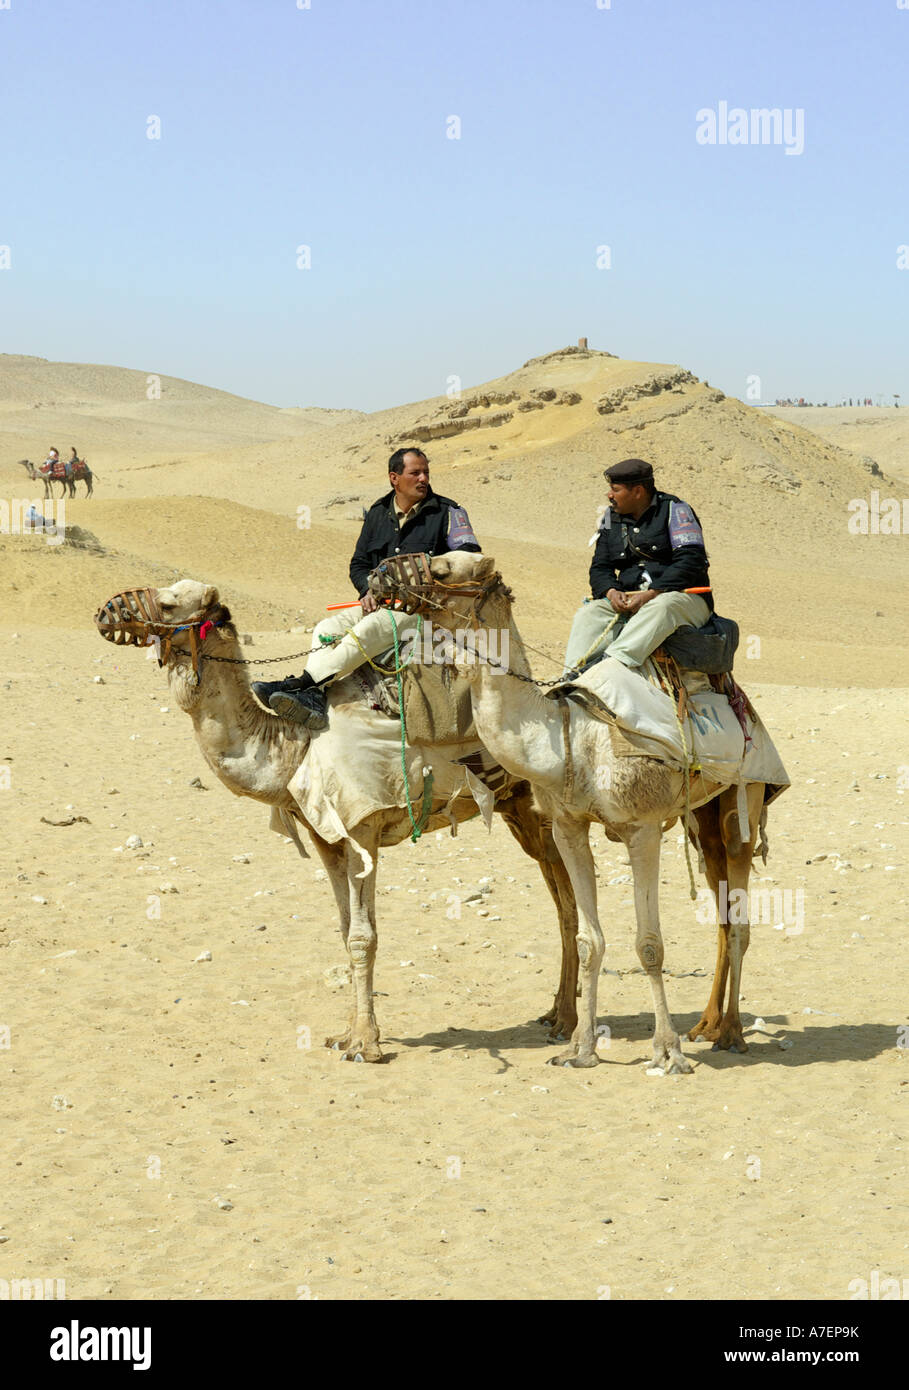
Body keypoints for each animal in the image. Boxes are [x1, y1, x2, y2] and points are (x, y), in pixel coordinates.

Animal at [95, 580, 580, 1062]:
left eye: (169, 603)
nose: (105, 611)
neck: (294, 746)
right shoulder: (326, 839)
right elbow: (346, 930)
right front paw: (345, 1033)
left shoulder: (364, 826)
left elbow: (363, 937)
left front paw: (366, 1044)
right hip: (521, 813)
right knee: (563, 903)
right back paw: (556, 1014)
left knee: (568, 903)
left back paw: (568, 1023)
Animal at [388, 551, 786, 1075]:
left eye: (443, 568)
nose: (381, 575)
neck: (569, 736)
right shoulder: (568, 827)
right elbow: (586, 940)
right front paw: (580, 1049)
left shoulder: (642, 828)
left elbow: (650, 944)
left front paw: (667, 1052)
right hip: (700, 819)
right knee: (721, 910)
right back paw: (706, 1025)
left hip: (745, 795)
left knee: (738, 919)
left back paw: (732, 1033)